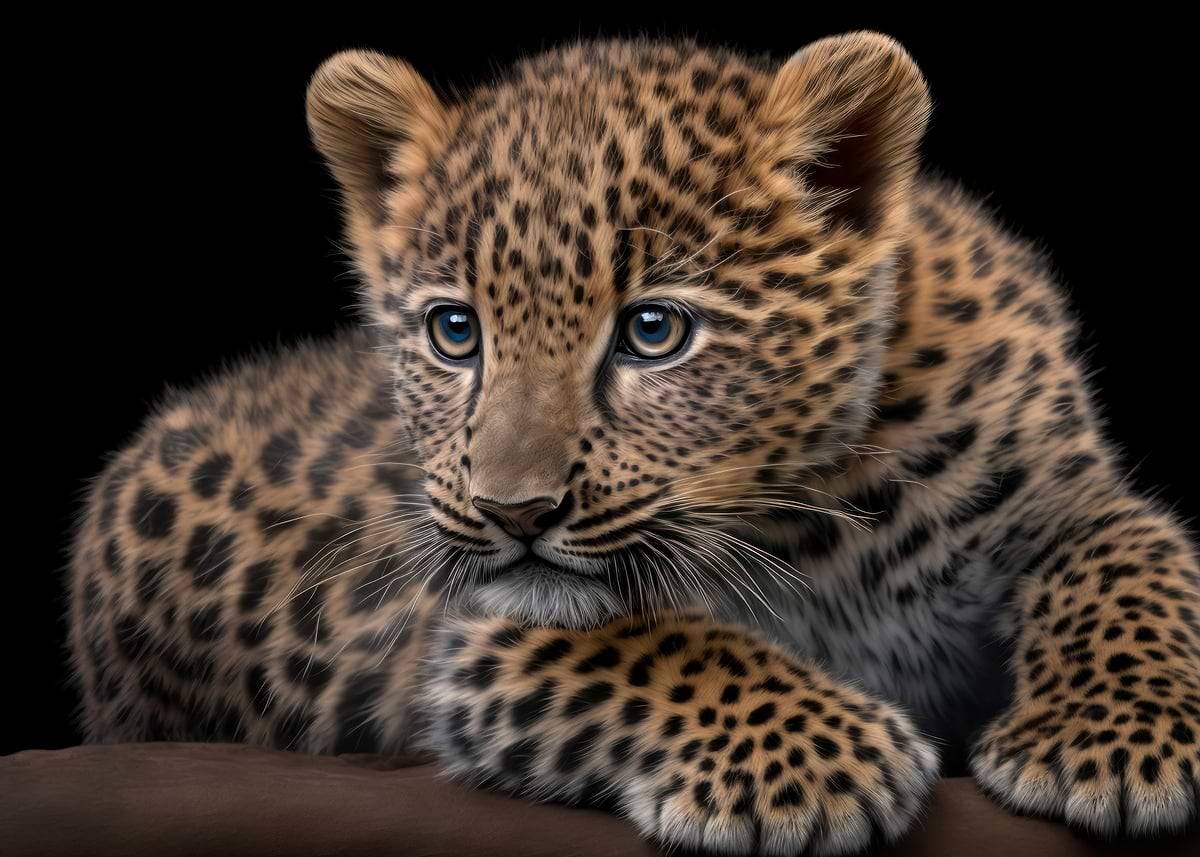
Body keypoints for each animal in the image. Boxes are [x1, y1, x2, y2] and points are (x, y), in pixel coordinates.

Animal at [67, 32, 1200, 854]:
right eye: (455, 330)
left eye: (655, 330)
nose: (514, 512)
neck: (818, 518)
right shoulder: (476, 632)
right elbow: (659, 644)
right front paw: (822, 765)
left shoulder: (1061, 492)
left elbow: (1135, 562)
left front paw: (1114, 741)